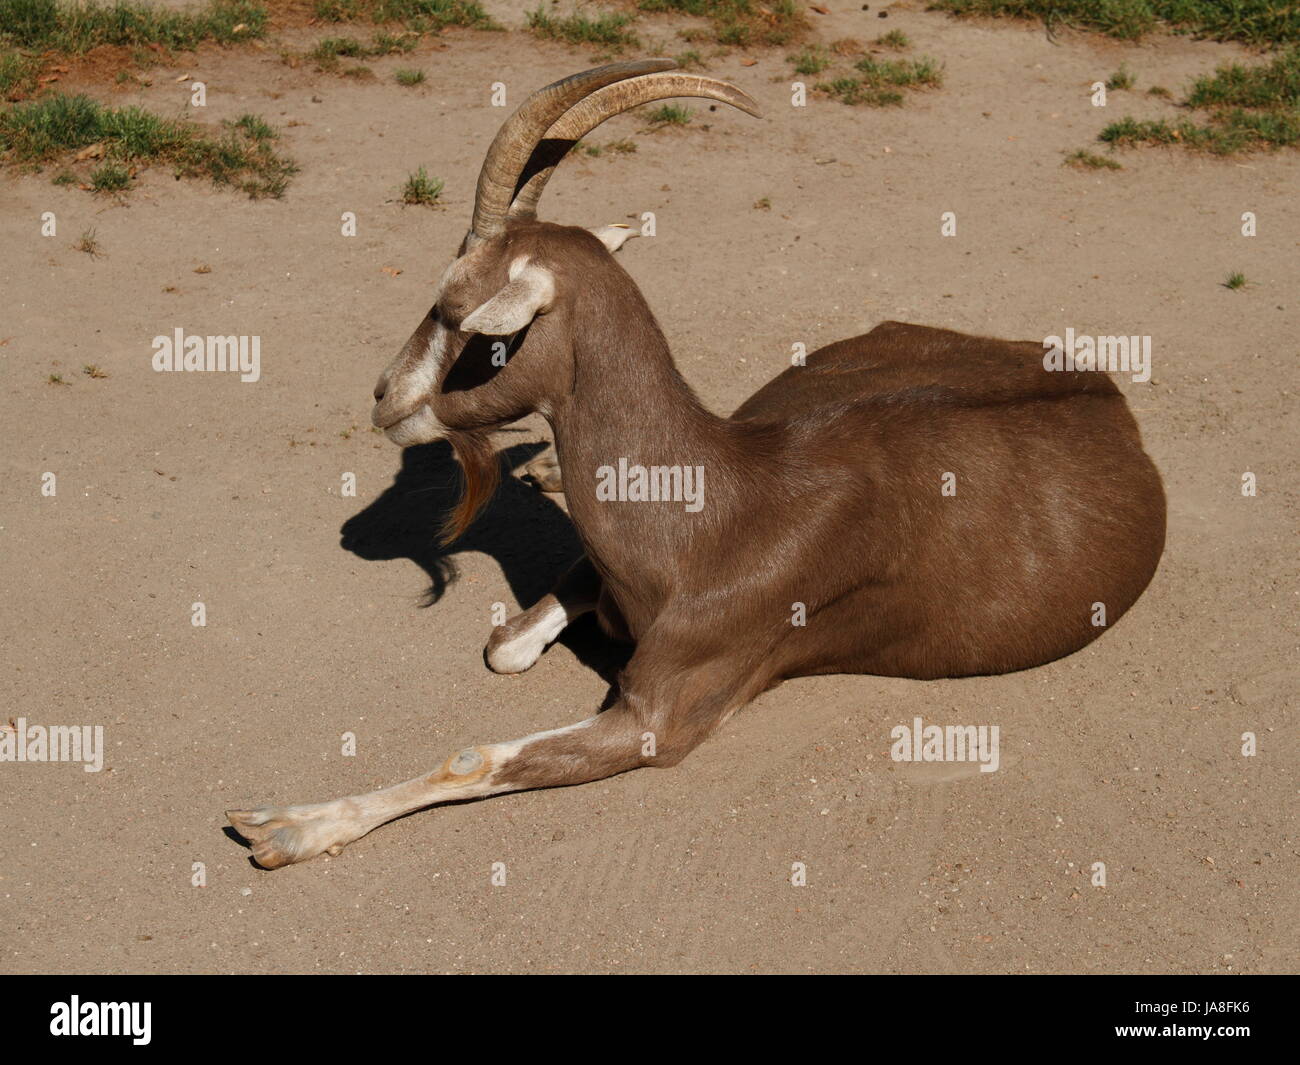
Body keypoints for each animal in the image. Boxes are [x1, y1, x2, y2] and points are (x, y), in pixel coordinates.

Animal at [228, 60, 1166, 868]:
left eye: (466, 317)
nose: (385, 397)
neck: (711, 510)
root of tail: (1103, 388)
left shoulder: (658, 719)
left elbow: (474, 754)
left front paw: (289, 825)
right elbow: (507, 648)